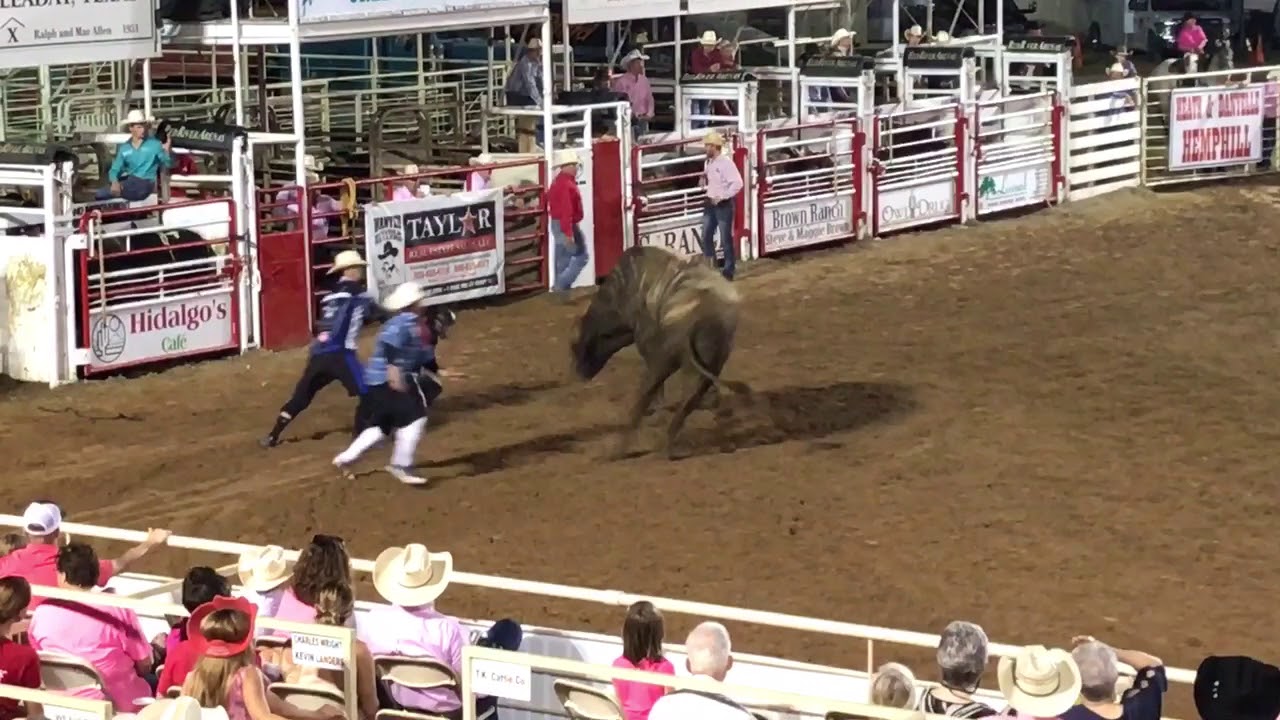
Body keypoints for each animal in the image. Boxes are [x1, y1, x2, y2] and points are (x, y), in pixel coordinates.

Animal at [570, 245, 752, 459]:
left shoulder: (648, 348)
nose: (578, 373)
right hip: (708, 363)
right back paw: (670, 444)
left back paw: (621, 448)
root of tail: (703, 315)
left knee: (646, 396)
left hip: (664, 361)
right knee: (690, 396)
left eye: (577, 346)